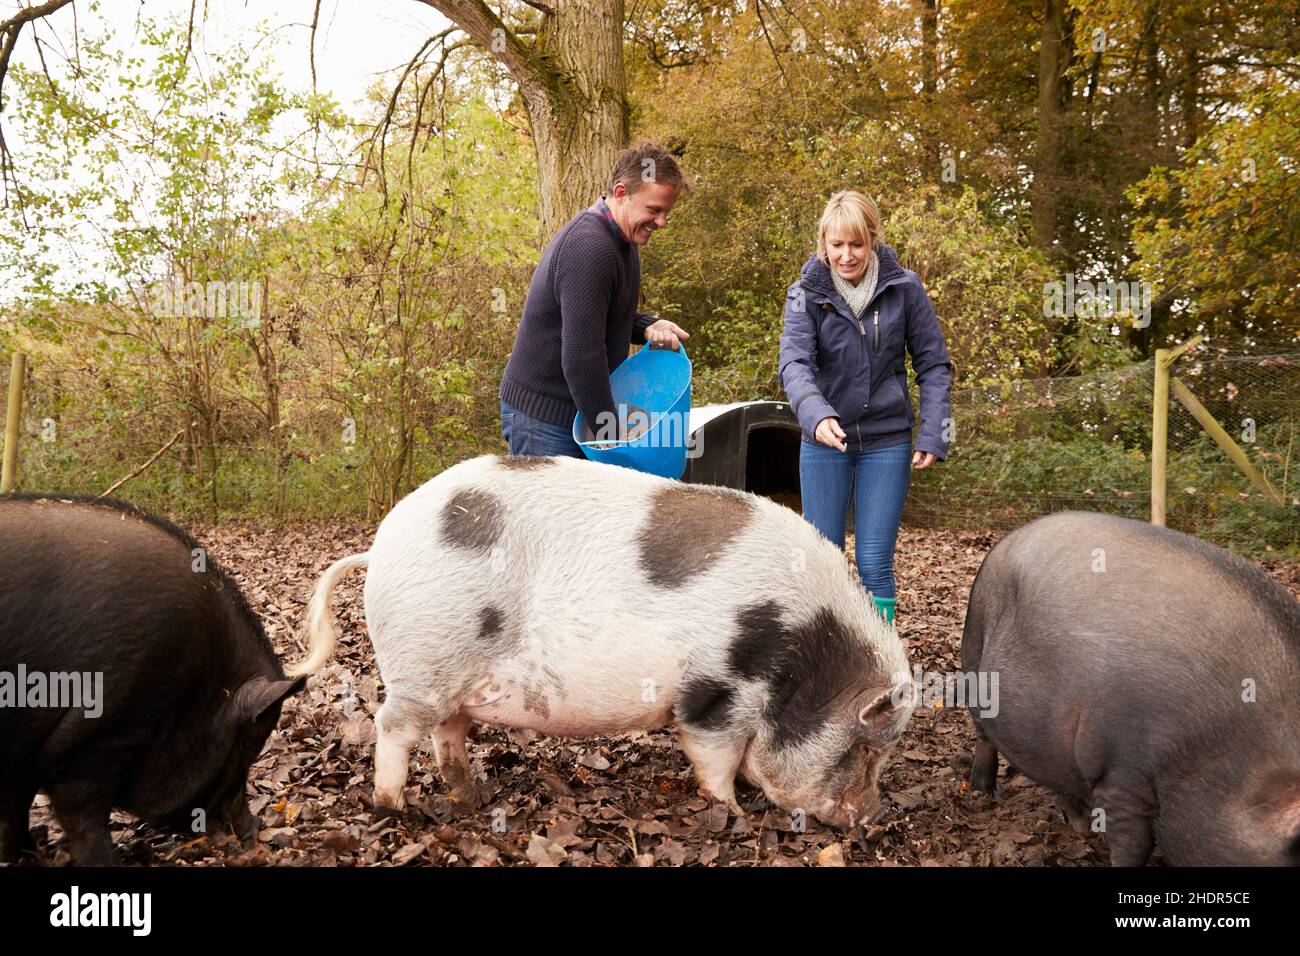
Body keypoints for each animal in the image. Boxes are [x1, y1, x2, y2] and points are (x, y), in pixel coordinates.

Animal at [0, 493, 304, 865]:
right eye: (243, 750)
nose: (254, 828)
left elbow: (16, 806)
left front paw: (24, 853)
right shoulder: (101, 731)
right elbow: (83, 816)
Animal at [288, 453, 915, 829]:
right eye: (865, 748)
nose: (873, 818)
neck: (803, 655)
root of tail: (379, 545)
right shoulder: (718, 689)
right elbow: (712, 755)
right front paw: (730, 809)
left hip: (452, 675)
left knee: (448, 732)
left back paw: (470, 796)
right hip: (425, 659)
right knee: (392, 727)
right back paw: (396, 808)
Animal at [962, 510, 1300, 866]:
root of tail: (1006, 540)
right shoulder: (1122, 775)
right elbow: (1134, 844)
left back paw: (1080, 827)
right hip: (973, 653)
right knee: (984, 736)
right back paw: (983, 793)